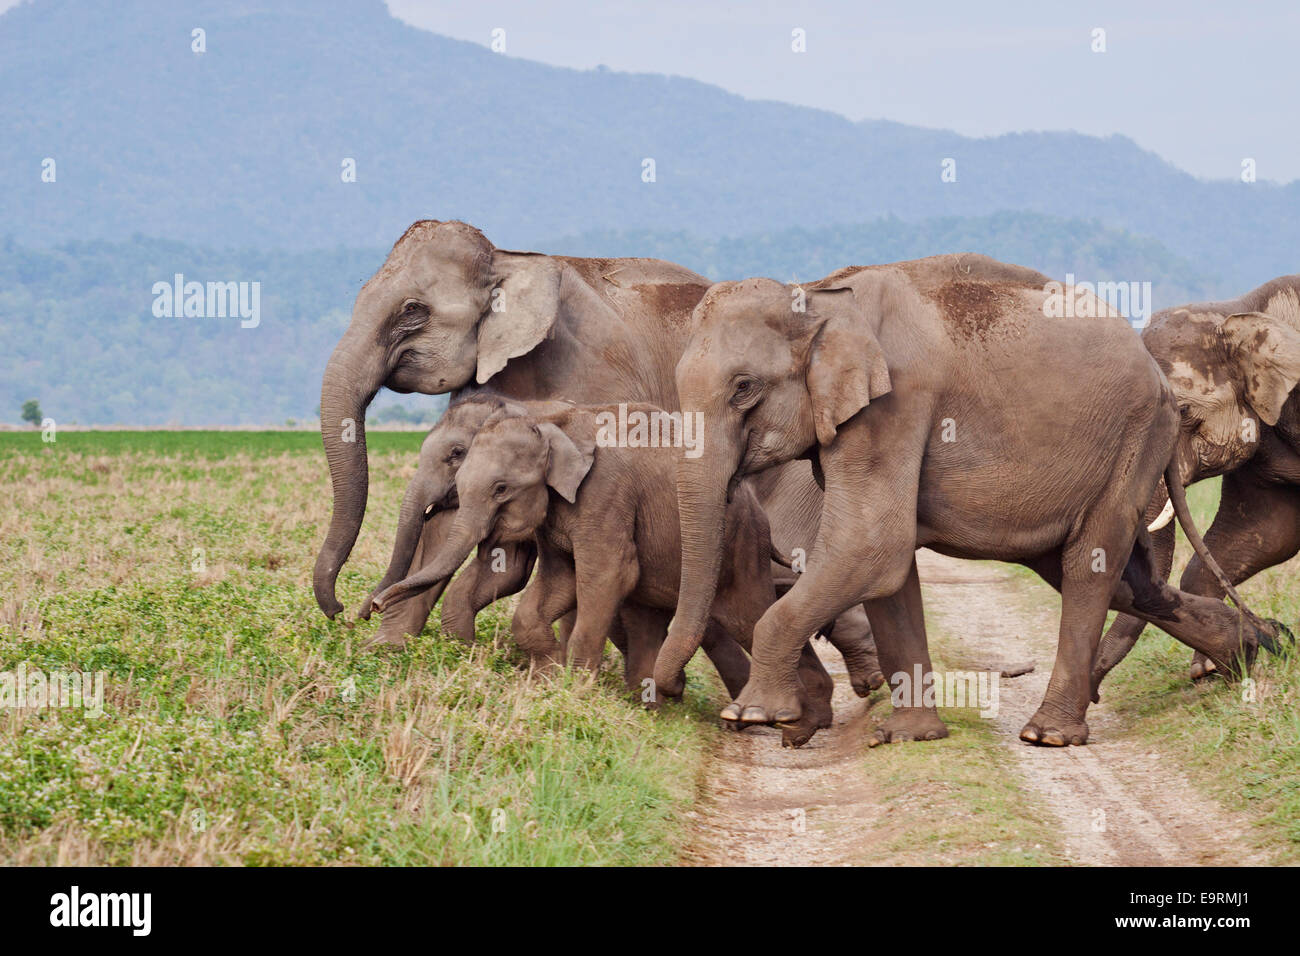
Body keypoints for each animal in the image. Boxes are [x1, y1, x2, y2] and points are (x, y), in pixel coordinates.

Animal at [312, 219, 880, 693]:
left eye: (413, 310)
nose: (350, 610)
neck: (511, 259)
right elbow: (462, 533)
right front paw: (390, 652)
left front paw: (565, 673)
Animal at [370, 402, 834, 743]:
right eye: (460, 467)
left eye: (501, 488)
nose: (373, 604)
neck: (549, 421)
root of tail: (759, 511)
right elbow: (554, 583)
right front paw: (546, 675)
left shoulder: (604, 495)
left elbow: (608, 573)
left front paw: (572, 688)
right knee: (655, 618)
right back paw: (657, 707)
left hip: (741, 550)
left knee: (750, 616)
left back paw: (785, 720)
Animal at [658, 254, 1278, 749]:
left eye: (744, 388)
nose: (665, 693)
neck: (815, 293)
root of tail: (1160, 378)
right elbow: (886, 567)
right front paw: (907, 737)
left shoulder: (895, 405)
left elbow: (871, 546)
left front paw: (753, 715)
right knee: (1122, 581)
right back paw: (1254, 648)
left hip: (1134, 436)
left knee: (1088, 567)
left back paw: (1048, 735)